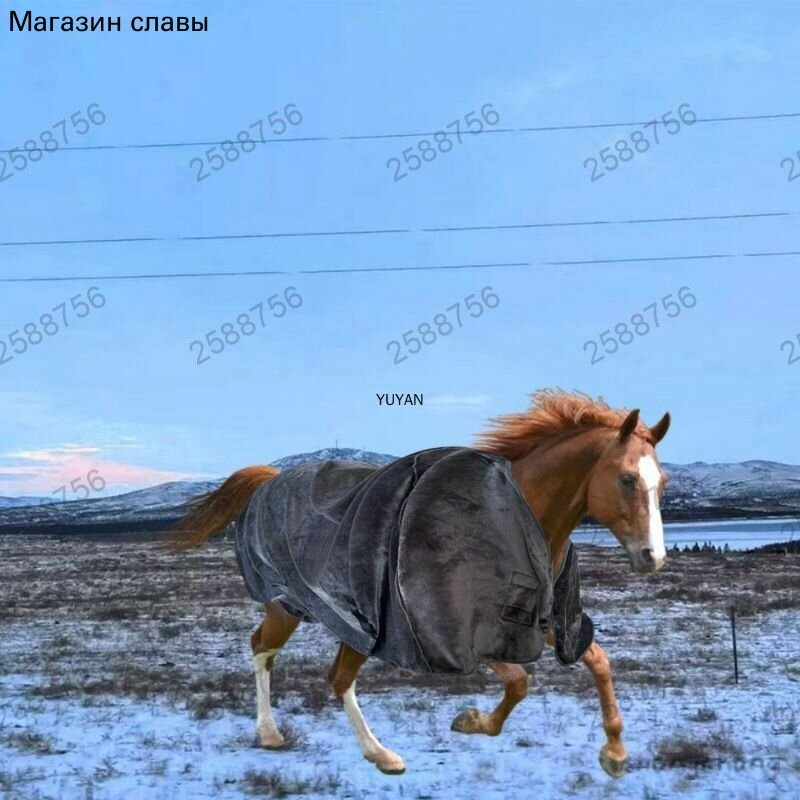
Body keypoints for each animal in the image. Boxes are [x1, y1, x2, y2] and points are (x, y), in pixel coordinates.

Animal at [170, 390, 670, 778]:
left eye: (662, 482)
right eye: (627, 478)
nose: (654, 557)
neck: (511, 516)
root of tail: (272, 479)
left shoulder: (539, 619)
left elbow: (599, 663)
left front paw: (615, 753)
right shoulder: (461, 631)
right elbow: (520, 681)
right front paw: (472, 721)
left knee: (329, 674)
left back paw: (372, 753)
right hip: (289, 605)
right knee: (268, 651)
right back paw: (287, 737)